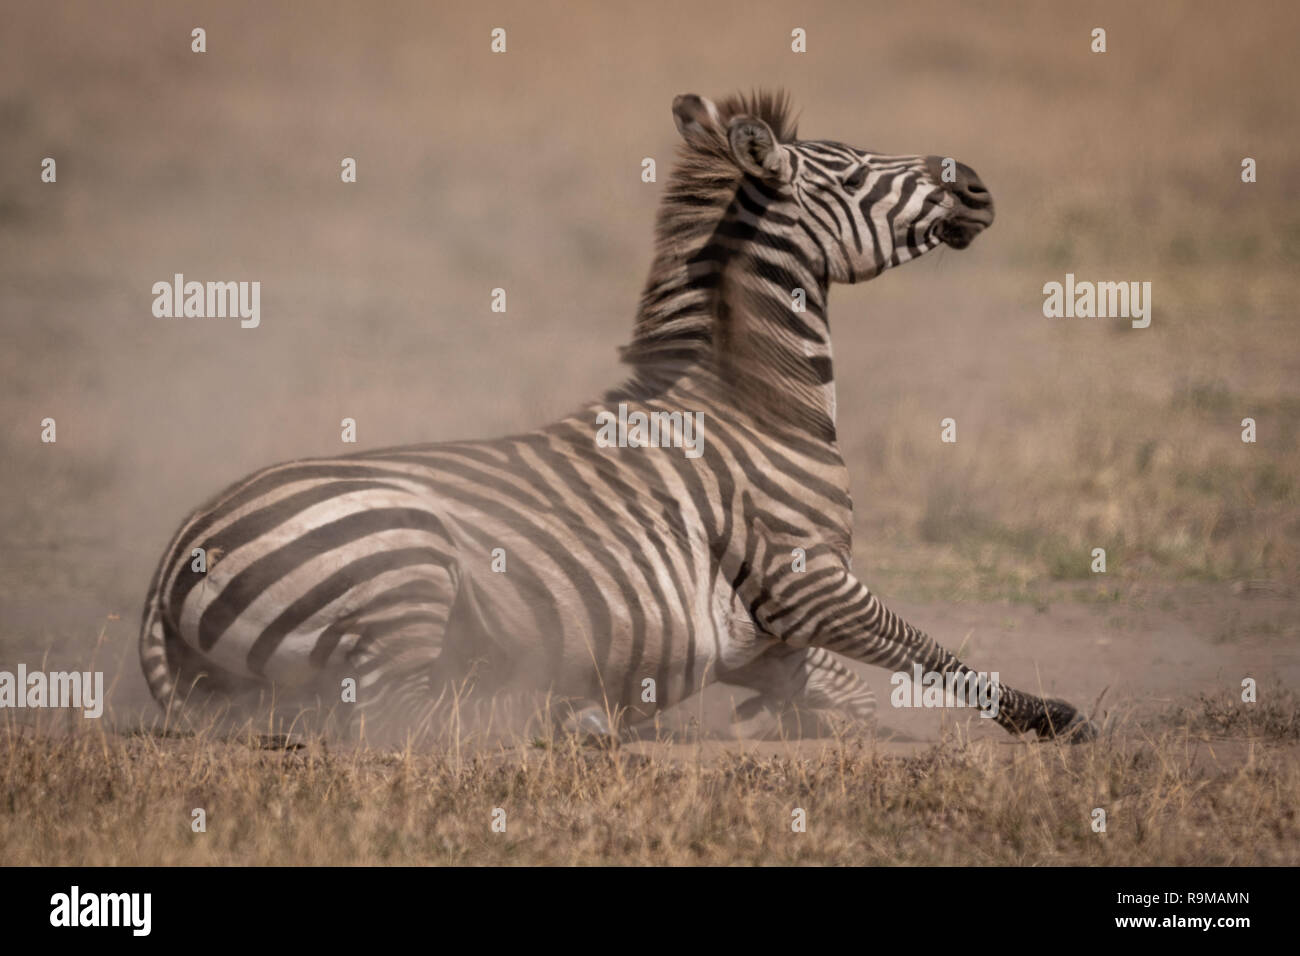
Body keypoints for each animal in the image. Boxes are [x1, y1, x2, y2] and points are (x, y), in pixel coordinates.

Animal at [139, 90, 1095, 744]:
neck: (757, 408)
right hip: (405, 561)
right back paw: (553, 724)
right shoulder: (807, 579)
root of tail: (172, 558)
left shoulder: (770, 634)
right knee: (395, 721)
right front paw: (1049, 717)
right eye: (857, 169)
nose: (977, 185)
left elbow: (850, 695)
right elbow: (924, 648)